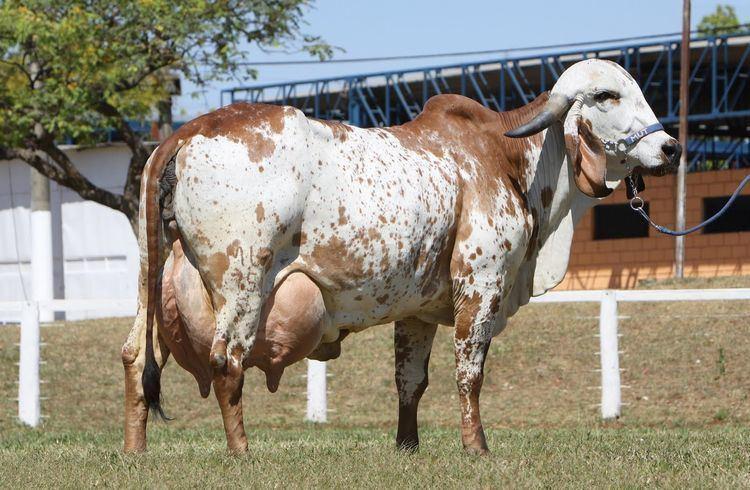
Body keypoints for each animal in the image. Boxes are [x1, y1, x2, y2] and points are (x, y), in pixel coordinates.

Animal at [121, 59, 680, 455]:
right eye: (607, 95)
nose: (671, 148)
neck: (506, 157)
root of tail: (187, 131)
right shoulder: (482, 283)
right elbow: (469, 373)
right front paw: (476, 448)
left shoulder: (418, 310)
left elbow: (411, 382)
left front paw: (407, 447)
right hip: (243, 285)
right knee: (226, 362)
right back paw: (242, 453)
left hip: (151, 277)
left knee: (136, 356)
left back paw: (136, 451)